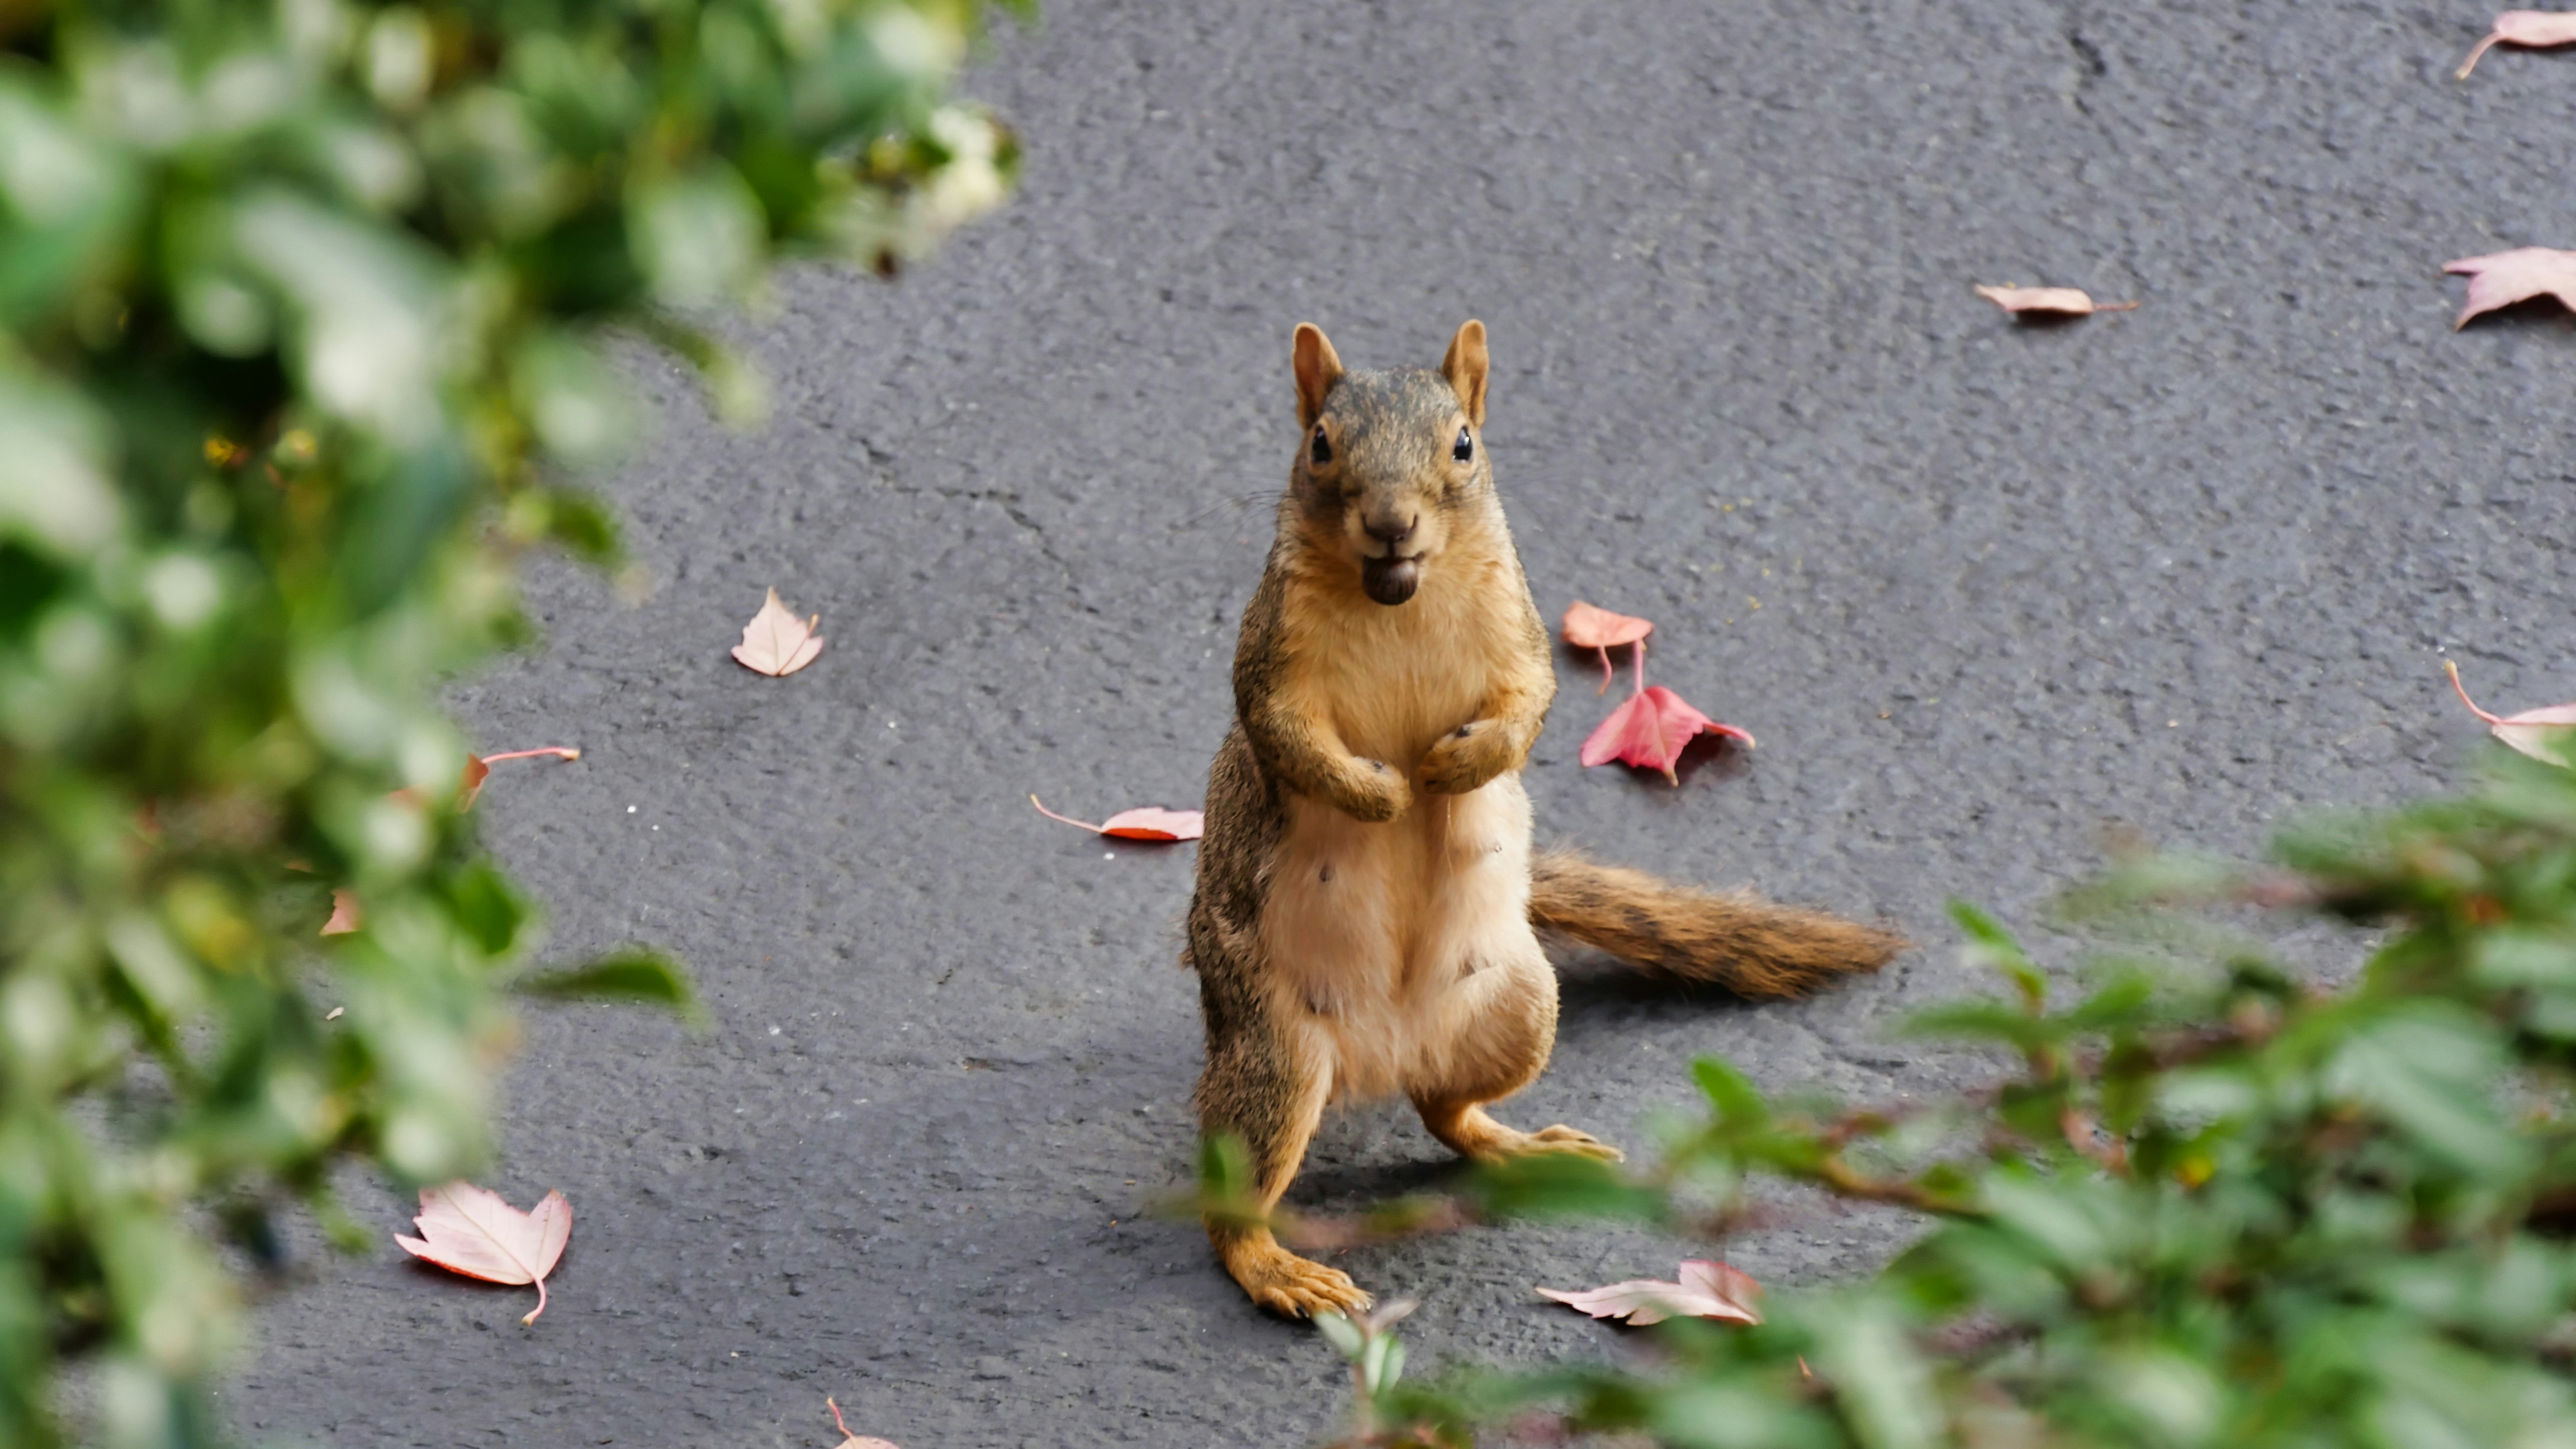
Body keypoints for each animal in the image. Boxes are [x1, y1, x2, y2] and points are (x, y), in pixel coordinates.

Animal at [1185, 320, 1907, 1318]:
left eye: (1463, 445)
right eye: (1321, 445)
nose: (1391, 523)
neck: (1397, 596)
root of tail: (1381, 1059)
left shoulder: (1516, 632)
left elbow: (1527, 708)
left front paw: (1451, 770)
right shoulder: (1271, 654)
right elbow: (1283, 733)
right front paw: (1382, 797)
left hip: (1519, 1011)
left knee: (1445, 1111)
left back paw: (1522, 1147)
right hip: (1274, 1056)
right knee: (1234, 1205)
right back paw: (1277, 1267)